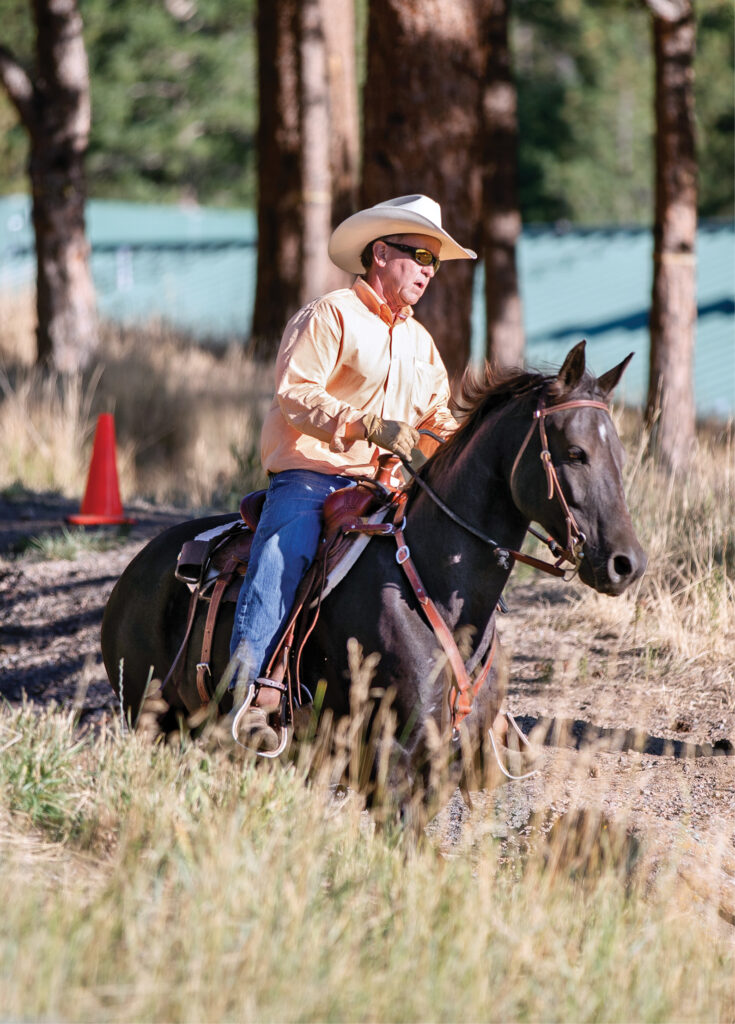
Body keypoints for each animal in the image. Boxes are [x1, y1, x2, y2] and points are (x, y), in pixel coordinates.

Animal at [101, 341, 646, 794]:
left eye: (620, 456)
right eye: (574, 452)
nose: (627, 564)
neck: (430, 585)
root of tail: (139, 565)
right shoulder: (395, 759)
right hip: (148, 719)